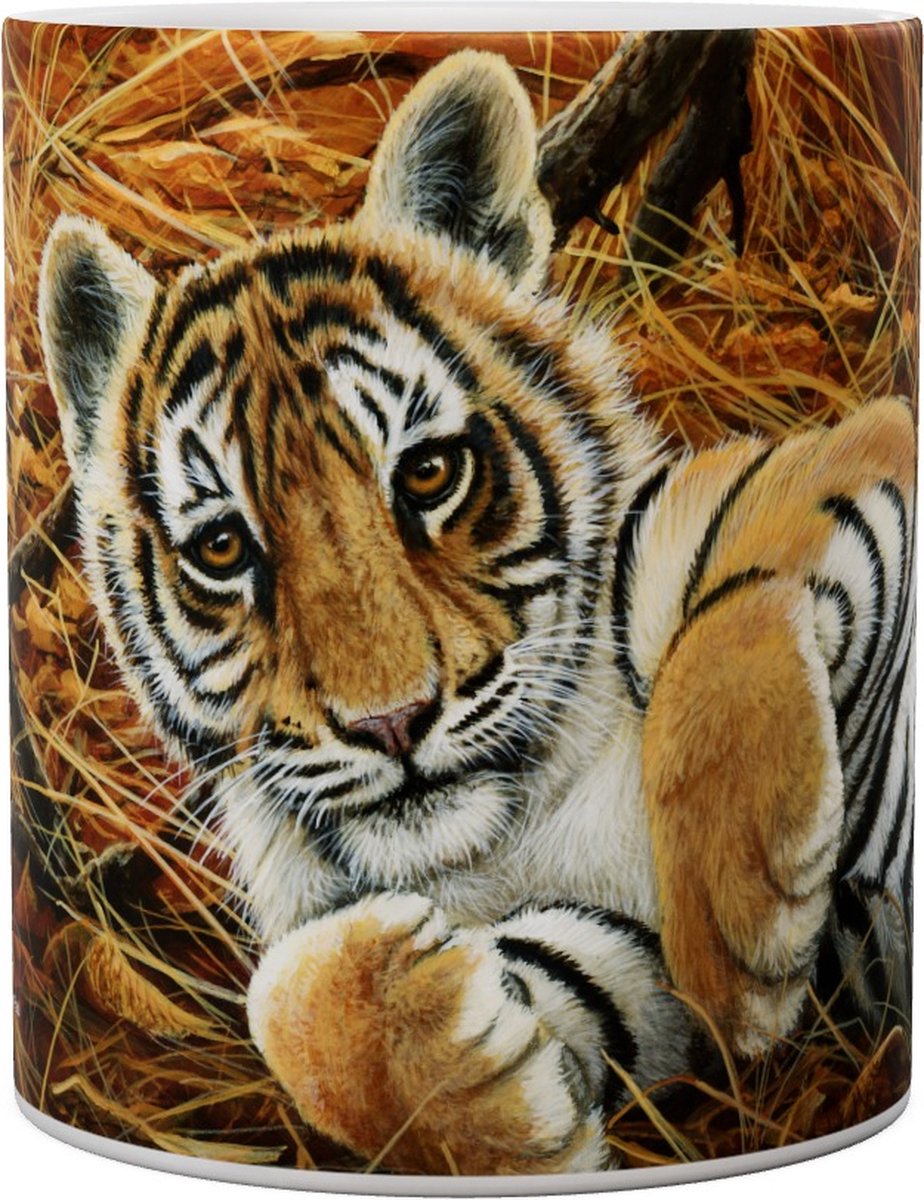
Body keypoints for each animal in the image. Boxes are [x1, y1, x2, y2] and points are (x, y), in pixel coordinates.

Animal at [38, 49, 913, 1175]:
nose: (392, 723)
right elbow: (293, 998)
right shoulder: (612, 940)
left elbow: (722, 630)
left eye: (428, 472)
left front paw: (742, 938)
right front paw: (476, 1082)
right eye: (224, 548)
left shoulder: (851, 454)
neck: (503, 834)